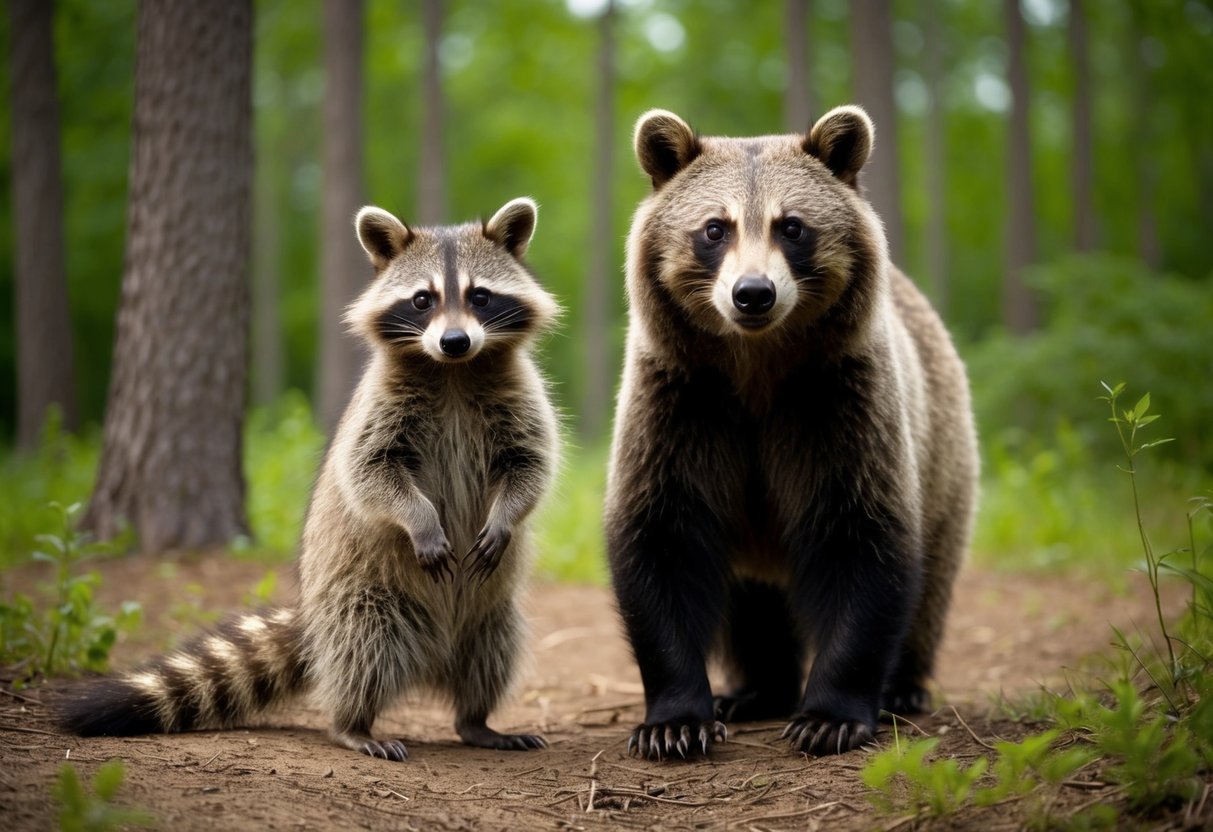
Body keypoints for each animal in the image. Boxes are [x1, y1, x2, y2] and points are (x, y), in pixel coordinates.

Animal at [60, 198, 561, 761]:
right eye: (422, 300)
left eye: (480, 296)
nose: (455, 341)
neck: (453, 370)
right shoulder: (378, 407)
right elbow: (369, 471)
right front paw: (420, 519)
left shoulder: (519, 393)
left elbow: (530, 464)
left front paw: (504, 516)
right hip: (362, 598)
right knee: (361, 654)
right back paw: (353, 723)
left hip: (491, 611)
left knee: (492, 653)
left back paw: (477, 720)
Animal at [605, 107, 978, 759]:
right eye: (715, 227)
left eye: (793, 226)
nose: (753, 293)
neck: (756, 371)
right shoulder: (683, 407)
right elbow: (661, 540)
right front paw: (675, 724)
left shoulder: (835, 406)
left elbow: (862, 540)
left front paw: (829, 719)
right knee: (751, 607)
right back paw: (753, 690)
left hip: (944, 452)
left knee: (932, 580)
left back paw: (903, 687)